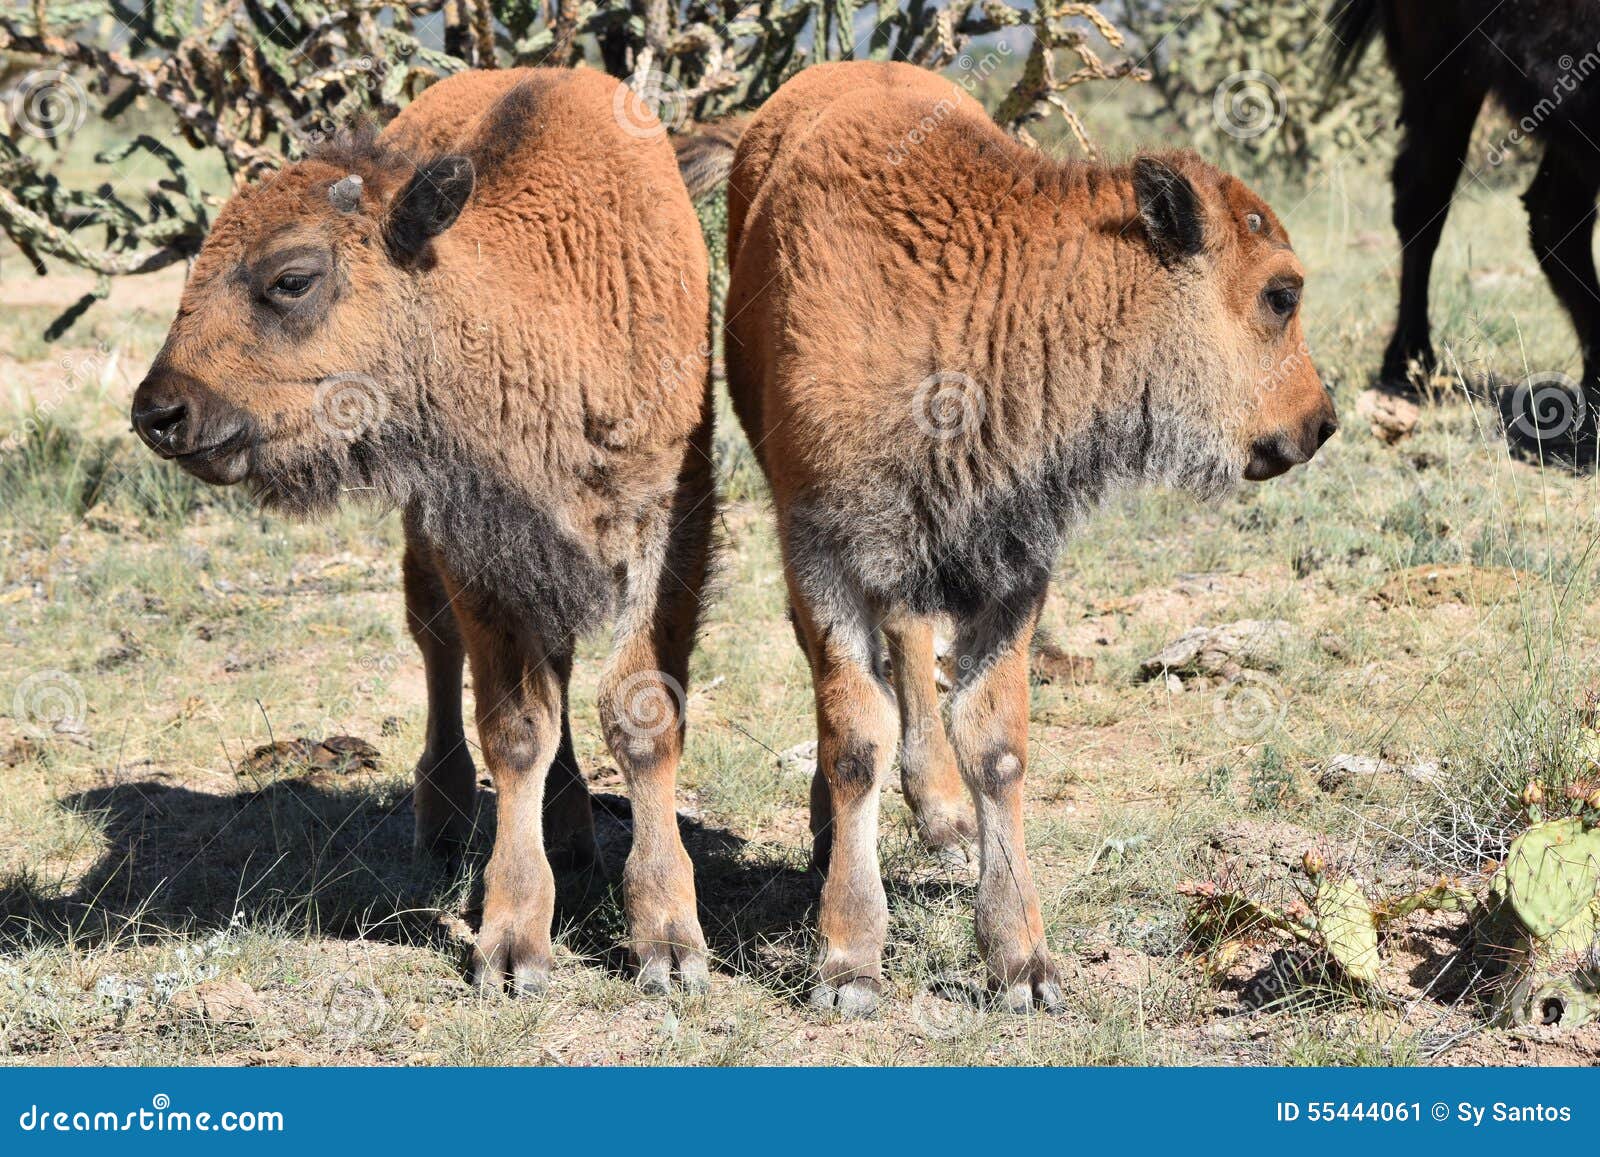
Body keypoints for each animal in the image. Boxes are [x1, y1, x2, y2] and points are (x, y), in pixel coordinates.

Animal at [130, 68, 716, 997]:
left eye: (292, 278)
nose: (159, 412)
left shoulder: (669, 522)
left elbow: (640, 712)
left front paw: (669, 942)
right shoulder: (474, 542)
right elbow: (515, 726)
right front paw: (512, 944)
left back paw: (572, 832)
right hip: (427, 538)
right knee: (440, 646)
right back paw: (444, 822)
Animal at [721, 60, 1336, 1015]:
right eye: (1281, 292)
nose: (1320, 422)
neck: (986, 294)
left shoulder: (1011, 566)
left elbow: (995, 744)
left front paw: (1024, 962)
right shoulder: (823, 550)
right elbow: (855, 737)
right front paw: (848, 960)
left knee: (912, 651)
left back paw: (940, 818)